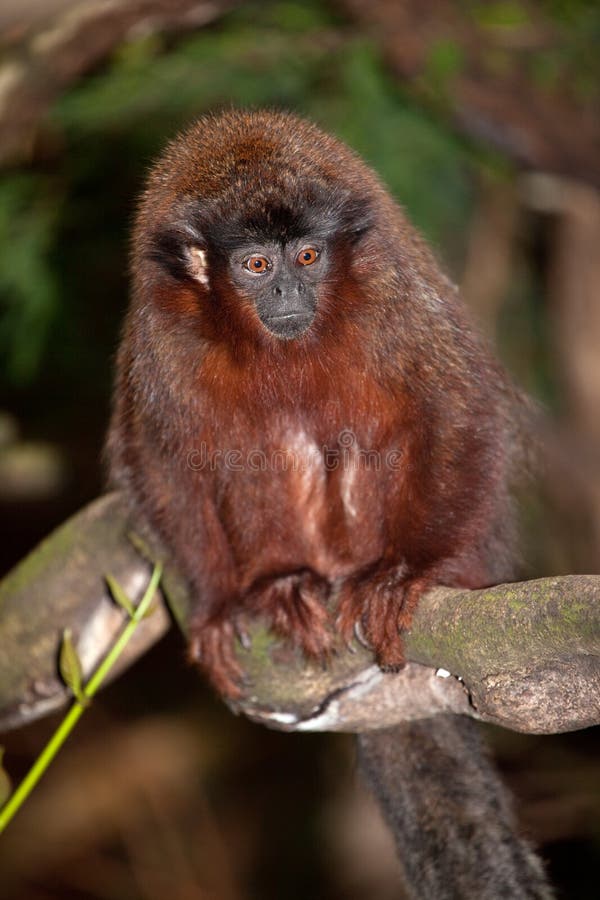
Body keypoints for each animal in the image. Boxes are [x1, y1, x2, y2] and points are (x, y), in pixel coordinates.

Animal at [107, 109, 553, 897]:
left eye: (310, 257)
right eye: (257, 266)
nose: (289, 297)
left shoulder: (387, 293)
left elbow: (456, 406)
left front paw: (410, 572)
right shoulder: (163, 332)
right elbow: (163, 459)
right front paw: (218, 602)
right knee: (256, 447)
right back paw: (286, 585)